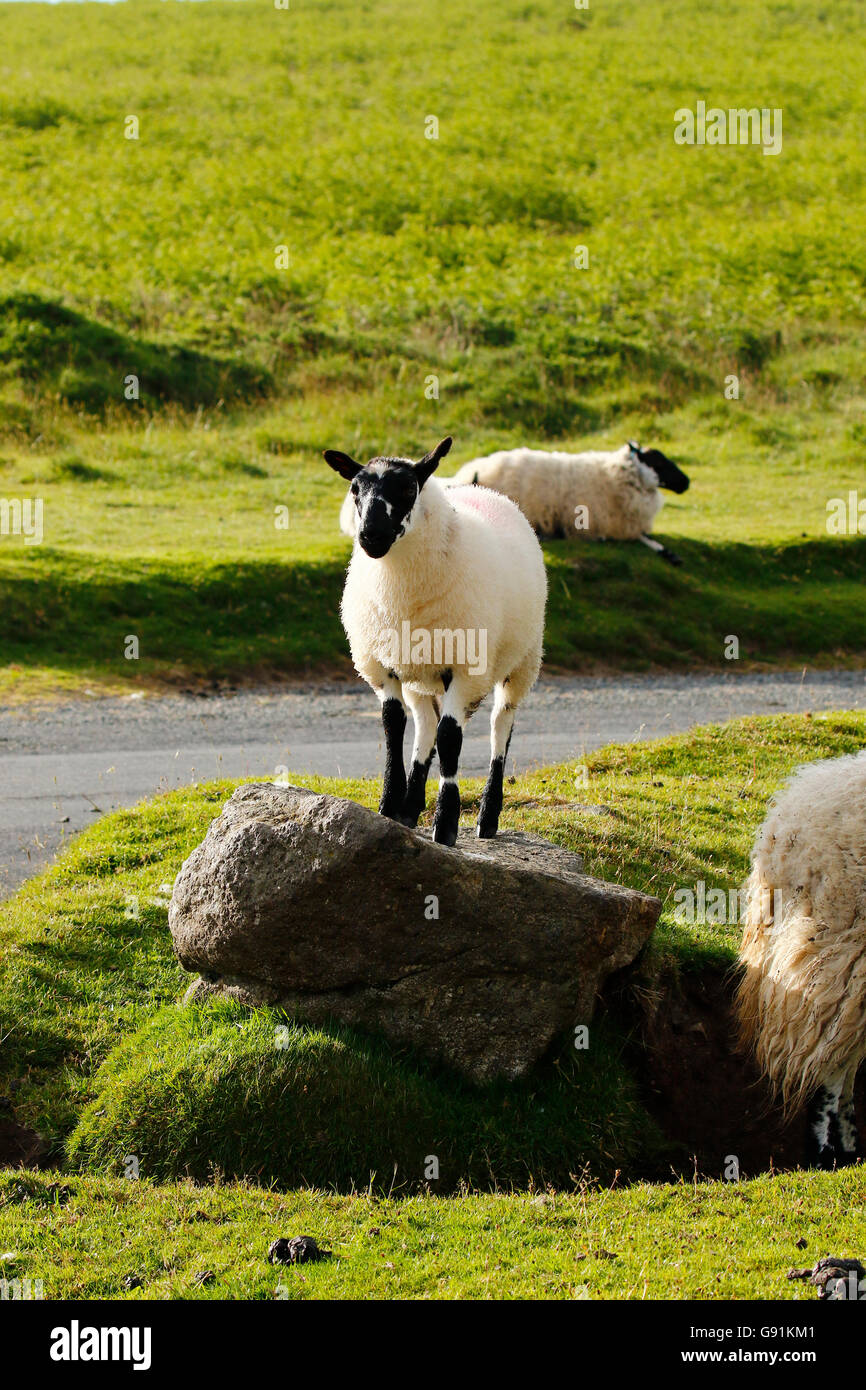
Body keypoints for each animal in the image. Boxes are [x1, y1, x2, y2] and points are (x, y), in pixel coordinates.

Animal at [324, 436, 547, 846]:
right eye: (354, 489)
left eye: (408, 489)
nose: (371, 537)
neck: (401, 589)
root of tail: (483, 491)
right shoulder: (383, 666)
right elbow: (393, 725)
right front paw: (390, 805)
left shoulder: (466, 669)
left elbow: (450, 738)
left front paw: (445, 825)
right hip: (419, 669)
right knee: (424, 724)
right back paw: (411, 807)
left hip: (523, 660)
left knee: (500, 726)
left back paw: (487, 818)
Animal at [448, 441, 690, 564]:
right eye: (658, 462)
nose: (686, 482)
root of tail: (466, 472)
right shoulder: (616, 526)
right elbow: (646, 539)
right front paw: (668, 553)